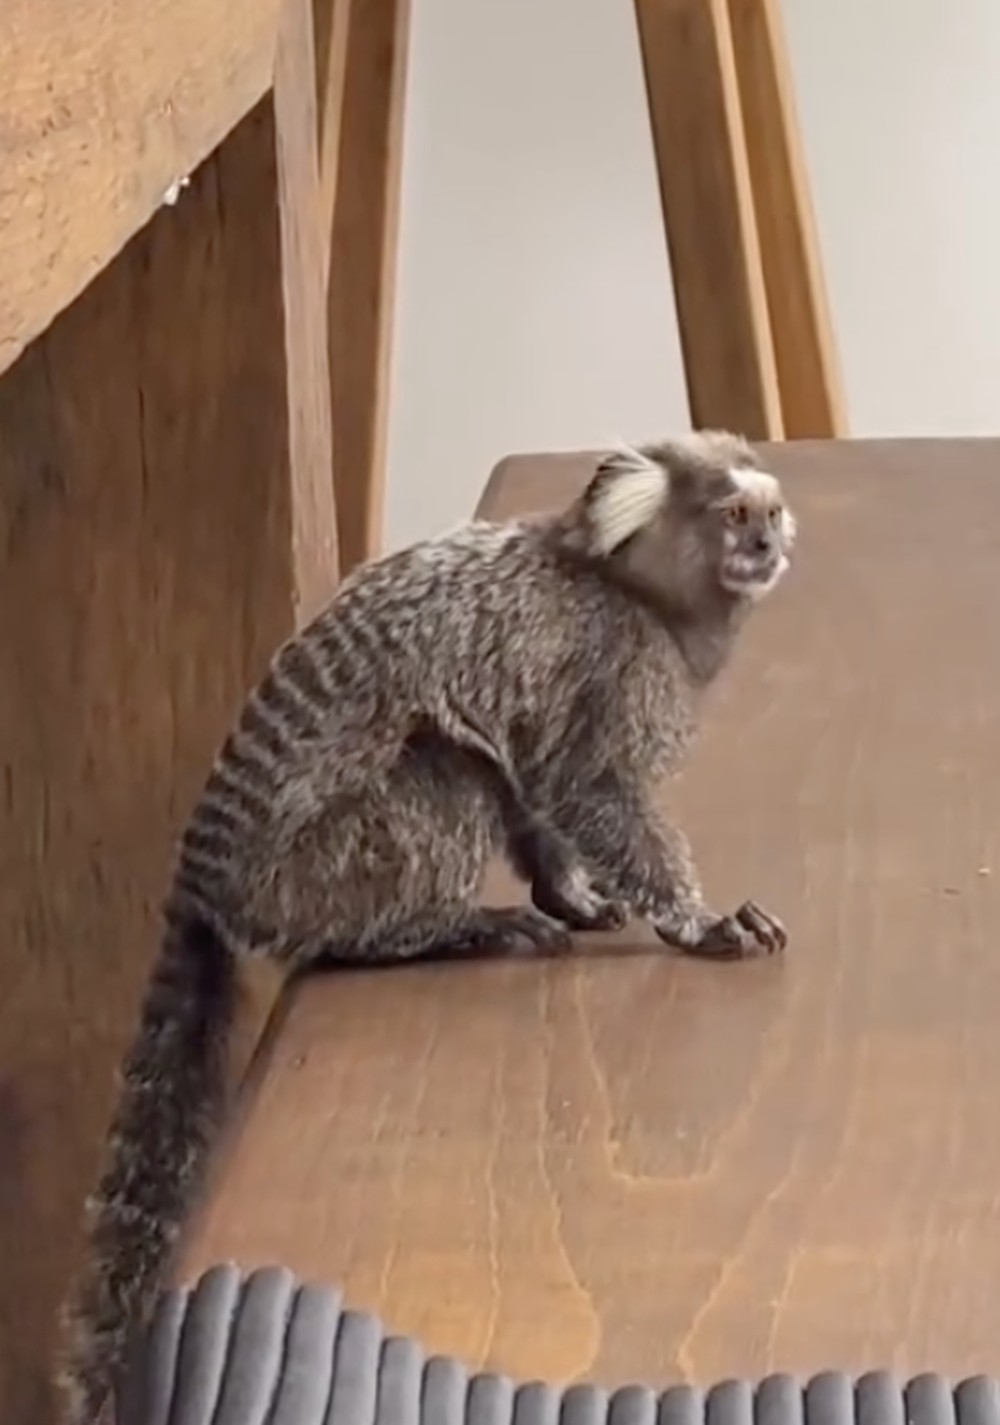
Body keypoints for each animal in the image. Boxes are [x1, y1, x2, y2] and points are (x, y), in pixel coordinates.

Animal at [57, 429, 796, 1423]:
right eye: (734, 513)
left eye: (770, 508)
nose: (766, 539)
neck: (639, 590)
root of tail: (206, 872)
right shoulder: (610, 665)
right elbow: (586, 785)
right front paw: (698, 919)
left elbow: (535, 785)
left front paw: (573, 894)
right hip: (322, 868)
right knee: (451, 771)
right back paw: (450, 930)